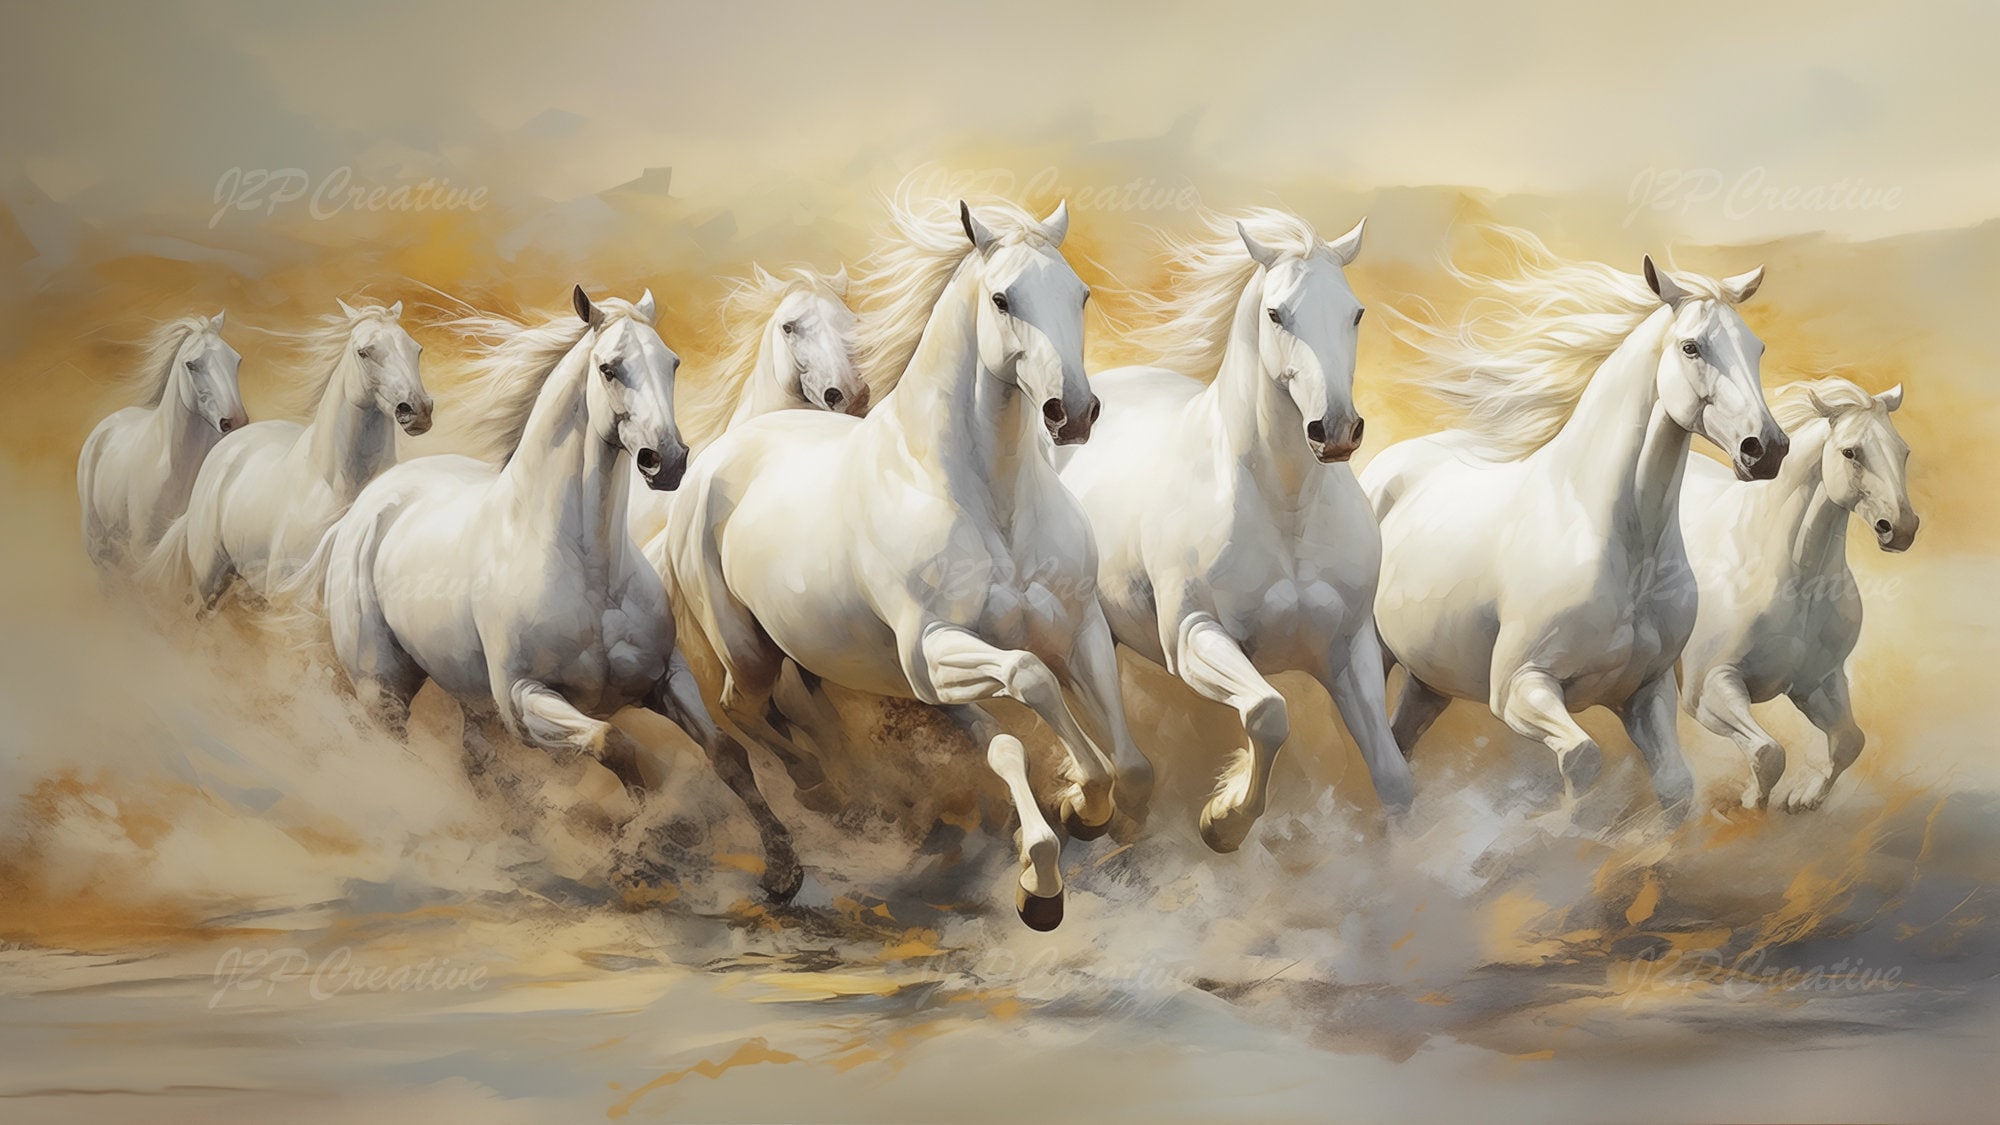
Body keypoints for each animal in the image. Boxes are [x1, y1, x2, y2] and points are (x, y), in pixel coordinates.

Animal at [286, 286, 801, 902]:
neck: (586, 568)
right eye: (609, 368)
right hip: (382, 690)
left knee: (479, 764)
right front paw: (642, 853)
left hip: (472, 698)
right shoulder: (524, 700)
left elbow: (728, 755)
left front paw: (783, 873)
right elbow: (615, 745)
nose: (668, 460)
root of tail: (367, 506)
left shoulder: (665, 678)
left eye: (672, 363)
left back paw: (519, 843)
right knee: (404, 763)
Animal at [659, 196, 1147, 930]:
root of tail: (723, 451)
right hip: (747, 648)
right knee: (736, 711)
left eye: (1080, 294)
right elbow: (1032, 681)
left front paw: (1076, 818)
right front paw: (1052, 858)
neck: (990, 502)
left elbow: (1125, 759)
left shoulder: (1078, 626)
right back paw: (814, 805)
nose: (1074, 413)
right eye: (1002, 298)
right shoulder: (934, 647)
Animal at [1055, 208, 1413, 854]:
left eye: (1354, 312)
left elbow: (1394, 777)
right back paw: (1093, 806)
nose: (1336, 430)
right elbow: (1269, 713)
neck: (1285, 510)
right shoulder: (1194, 636)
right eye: (1276, 314)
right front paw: (1223, 821)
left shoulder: (1350, 649)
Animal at [1360, 227, 1788, 816]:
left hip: (1430, 680)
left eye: (1757, 348)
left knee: (1402, 747)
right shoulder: (1519, 687)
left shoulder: (1647, 692)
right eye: (1691, 347)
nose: (1766, 449)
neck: (1620, 544)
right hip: (1376, 656)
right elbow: (1582, 759)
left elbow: (1677, 786)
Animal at [1678, 377, 1916, 811]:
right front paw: (1750, 805)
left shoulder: (1817, 680)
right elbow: (1768, 752)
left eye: (1903, 450)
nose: (1902, 529)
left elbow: (1848, 742)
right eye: (1850, 452)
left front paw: (1802, 800)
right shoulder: (1705, 688)